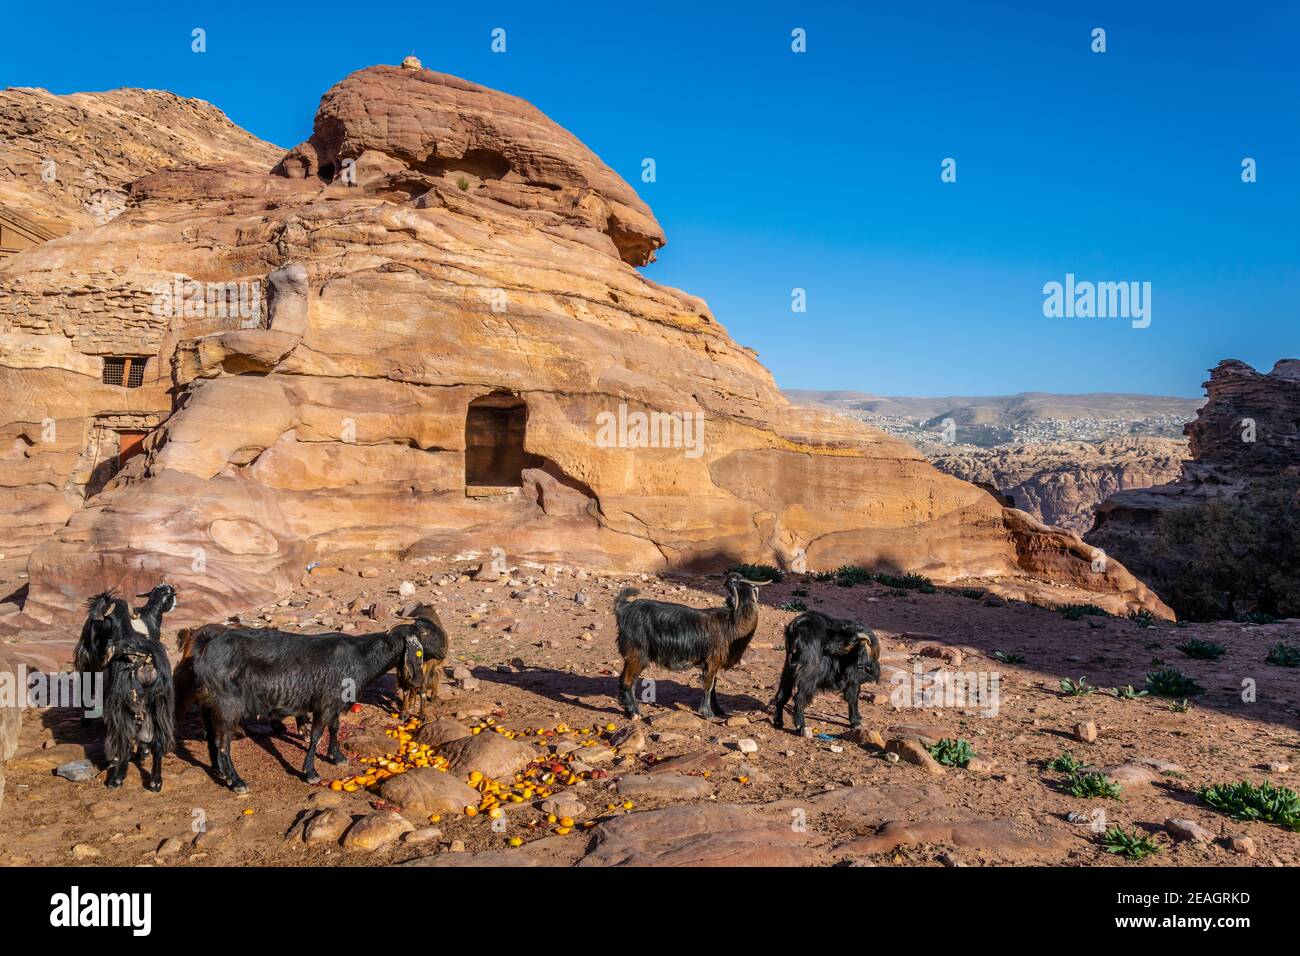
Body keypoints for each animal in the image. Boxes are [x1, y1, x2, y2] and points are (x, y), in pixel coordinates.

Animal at [183, 619, 433, 792]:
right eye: (423, 639)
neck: (362, 658)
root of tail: (203, 653)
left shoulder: (334, 704)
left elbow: (334, 728)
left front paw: (336, 756)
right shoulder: (325, 703)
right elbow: (316, 736)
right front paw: (310, 772)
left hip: (210, 706)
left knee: (213, 738)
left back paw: (218, 770)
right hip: (228, 706)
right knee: (223, 743)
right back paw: (236, 781)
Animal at [614, 575, 768, 719]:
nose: (732, 577)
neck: (732, 623)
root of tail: (624, 608)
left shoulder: (714, 663)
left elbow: (713, 686)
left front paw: (719, 710)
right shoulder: (712, 660)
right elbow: (708, 686)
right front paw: (707, 713)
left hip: (634, 657)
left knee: (630, 681)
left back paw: (631, 709)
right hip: (638, 653)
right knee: (627, 681)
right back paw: (634, 712)